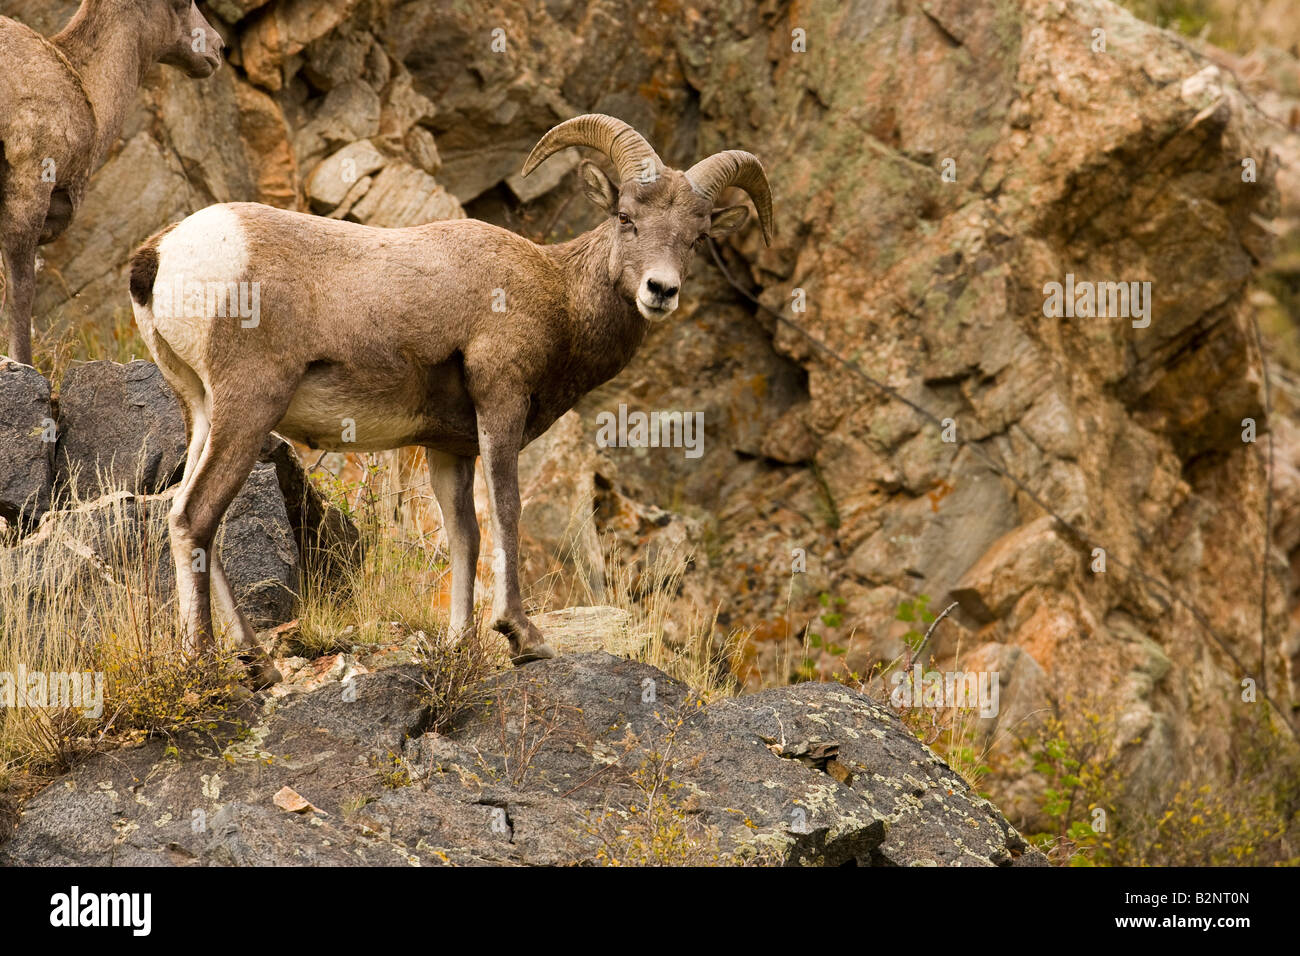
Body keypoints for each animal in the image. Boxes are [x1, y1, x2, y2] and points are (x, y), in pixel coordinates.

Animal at [128, 113, 774, 682]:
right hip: (248, 406)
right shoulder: (501, 403)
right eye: (625, 217)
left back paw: (256, 663)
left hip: (203, 412)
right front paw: (524, 637)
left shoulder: (449, 450)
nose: (660, 290)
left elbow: (464, 536)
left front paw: (462, 643)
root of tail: (161, 255)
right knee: (194, 516)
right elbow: (505, 513)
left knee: (189, 515)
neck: (557, 295)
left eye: (697, 238)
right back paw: (207, 661)